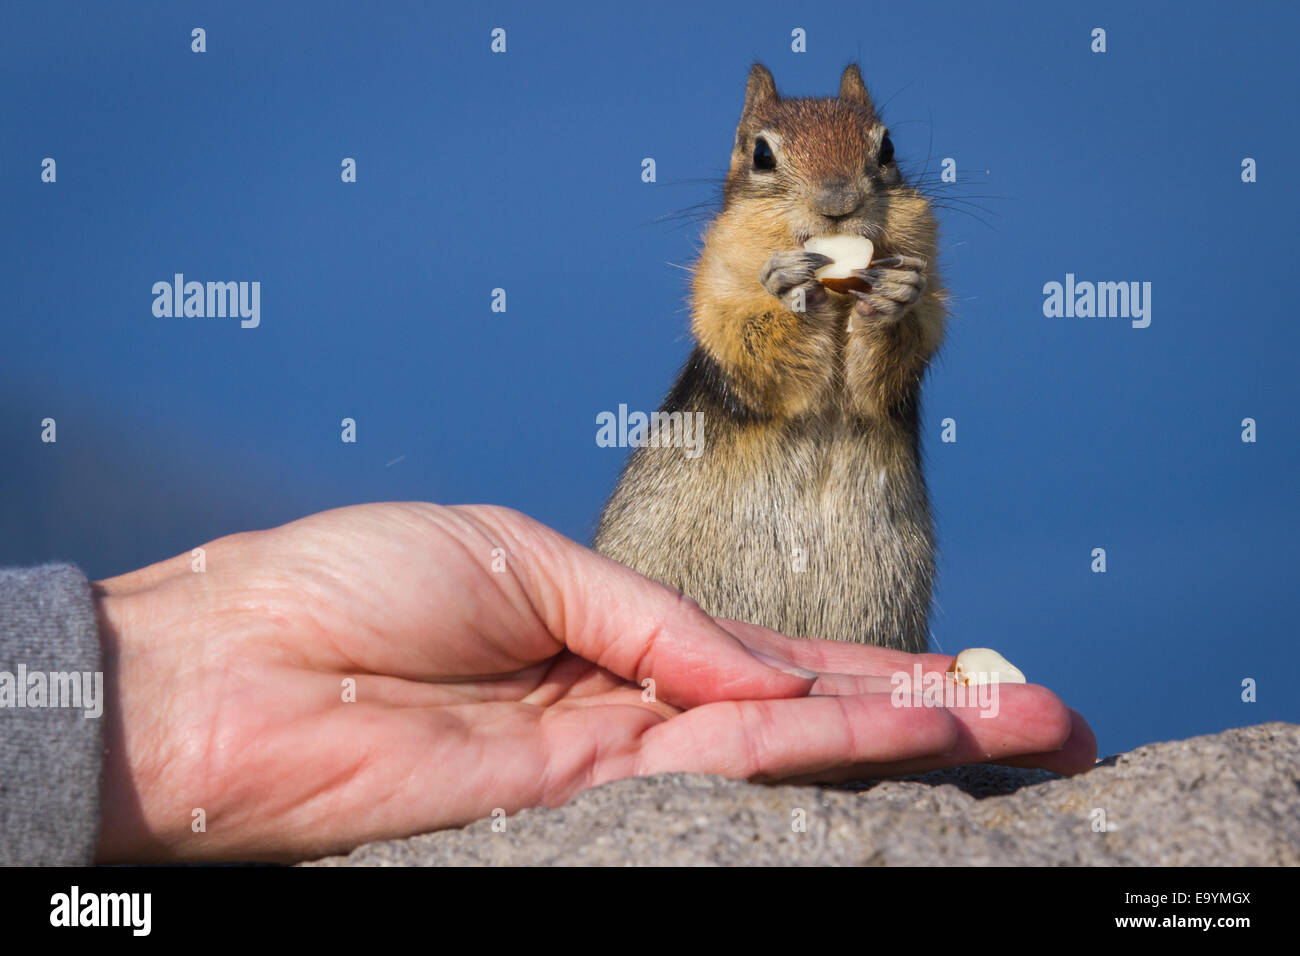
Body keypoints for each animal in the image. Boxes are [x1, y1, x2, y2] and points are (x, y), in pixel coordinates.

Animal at [594, 63, 946, 652]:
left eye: (888, 147)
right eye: (761, 154)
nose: (838, 202)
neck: (838, 298)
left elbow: (891, 364)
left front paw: (895, 296)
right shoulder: (719, 296)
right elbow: (757, 349)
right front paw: (788, 290)